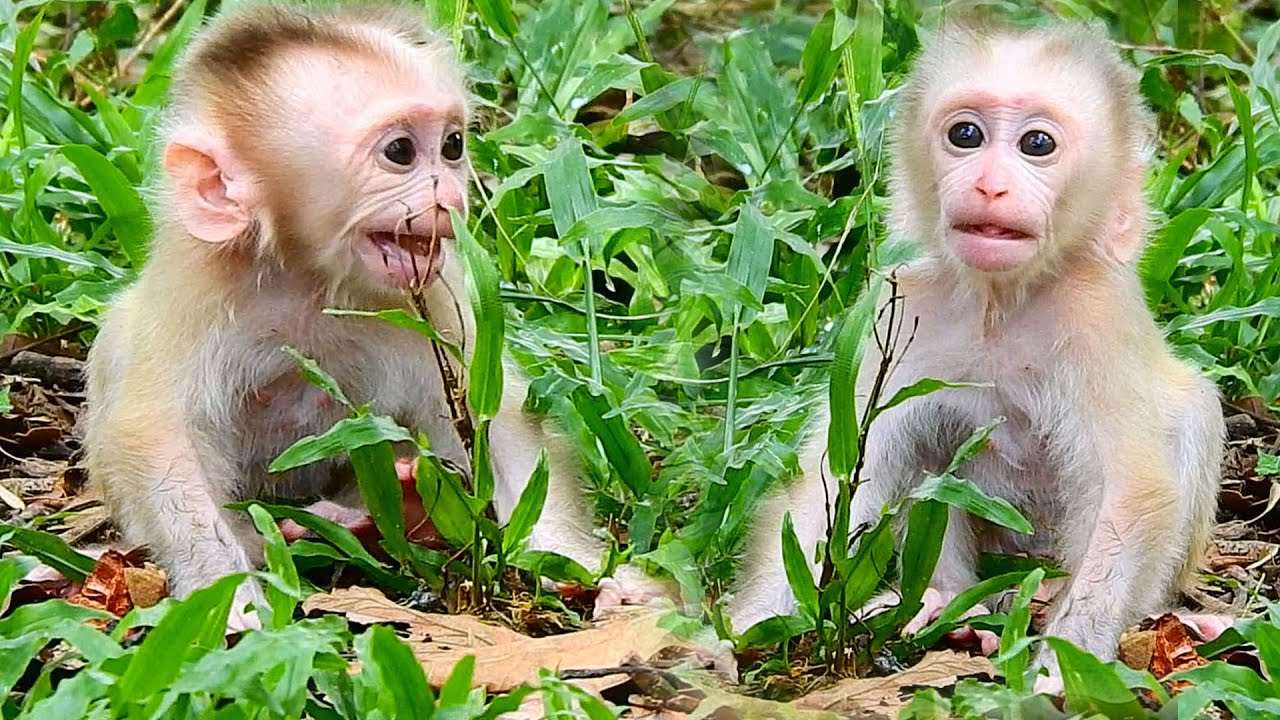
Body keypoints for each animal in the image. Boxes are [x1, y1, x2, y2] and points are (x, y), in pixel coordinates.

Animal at [80, 1, 665, 631]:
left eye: (453, 146)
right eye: (400, 153)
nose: (450, 200)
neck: (310, 278)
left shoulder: (440, 292)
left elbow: (497, 414)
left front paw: (578, 564)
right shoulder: (194, 291)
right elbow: (156, 437)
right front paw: (225, 602)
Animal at [722, 20, 1226, 691]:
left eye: (1037, 144)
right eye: (966, 135)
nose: (989, 184)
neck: (1000, 306)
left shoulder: (1094, 318)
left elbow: (1134, 493)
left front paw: (1062, 672)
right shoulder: (900, 305)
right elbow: (842, 473)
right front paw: (743, 633)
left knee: (1193, 409)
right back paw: (945, 607)